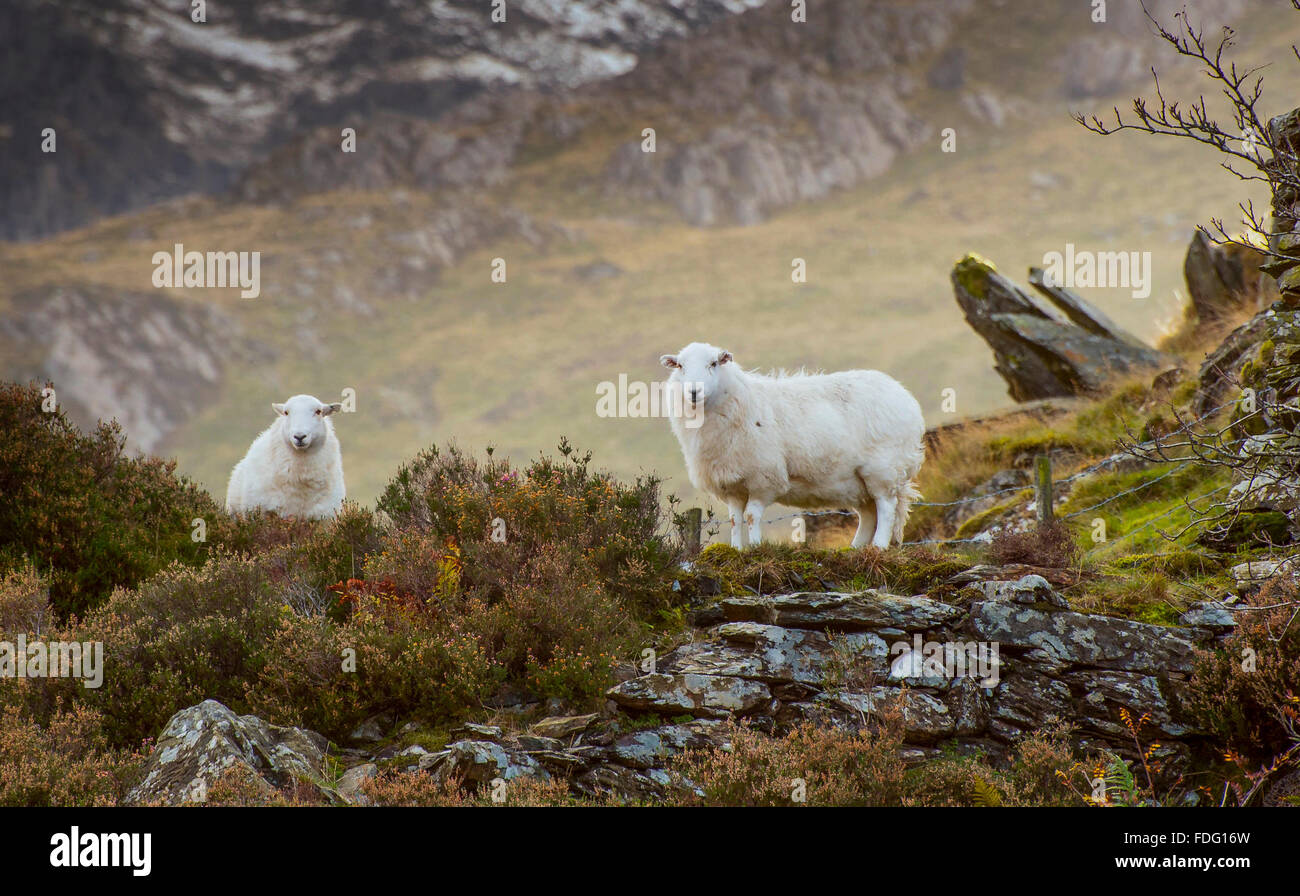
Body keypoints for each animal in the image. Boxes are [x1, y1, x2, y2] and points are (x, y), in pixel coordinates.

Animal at [660, 342, 924, 550]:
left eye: (714, 363)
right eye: (680, 366)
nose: (694, 391)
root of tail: (905, 396)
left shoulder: (764, 477)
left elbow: (752, 516)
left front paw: (756, 547)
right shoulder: (732, 484)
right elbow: (735, 519)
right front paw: (737, 549)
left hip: (883, 468)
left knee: (886, 507)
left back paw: (878, 546)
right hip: (858, 480)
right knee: (869, 514)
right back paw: (856, 548)